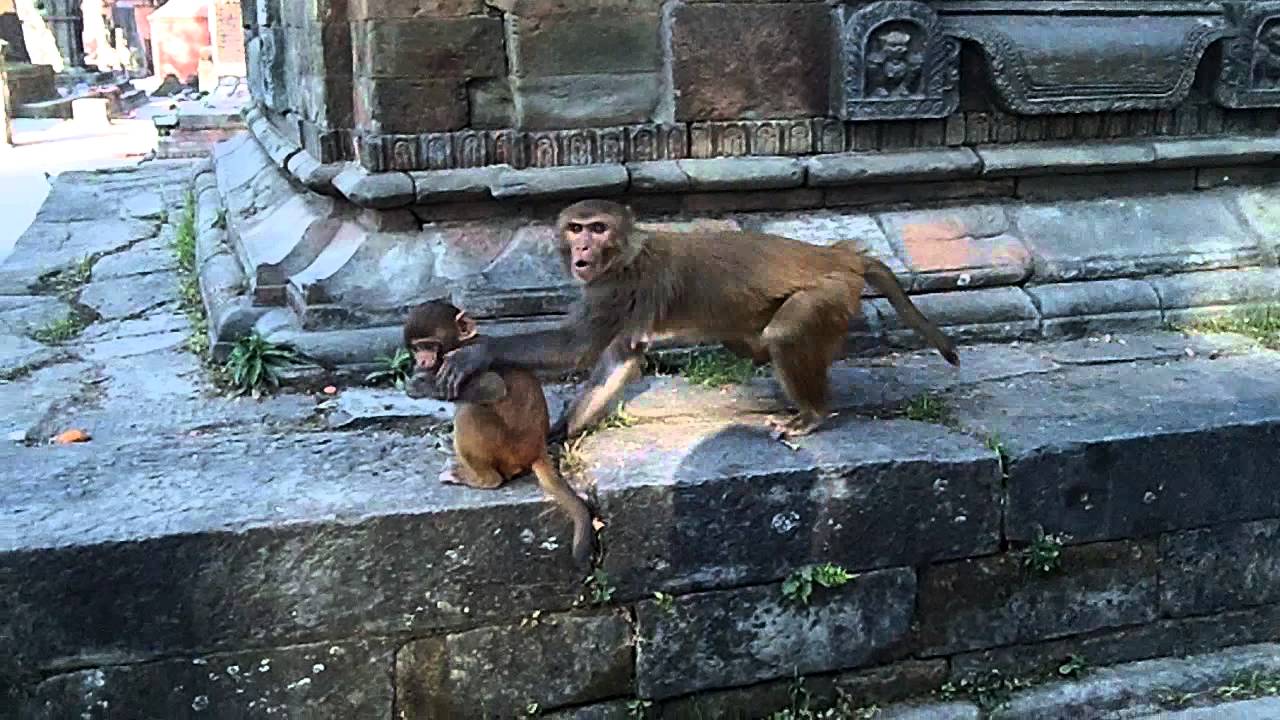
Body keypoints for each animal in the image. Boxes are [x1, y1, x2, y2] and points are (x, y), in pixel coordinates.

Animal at [403, 300, 597, 569]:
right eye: (417, 347)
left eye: (430, 345)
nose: (422, 360)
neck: (460, 344)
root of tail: (537, 448)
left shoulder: (460, 362)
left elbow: (493, 387)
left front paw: (421, 385)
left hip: (509, 449)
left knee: (470, 411)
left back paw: (484, 479)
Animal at [436, 198, 960, 441]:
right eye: (576, 228)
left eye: (597, 228)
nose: (582, 247)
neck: (626, 253)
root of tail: (840, 255)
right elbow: (619, 358)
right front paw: (560, 431)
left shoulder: (617, 288)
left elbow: (578, 345)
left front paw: (478, 352)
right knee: (757, 342)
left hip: (826, 292)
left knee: (785, 333)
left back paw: (812, 414)